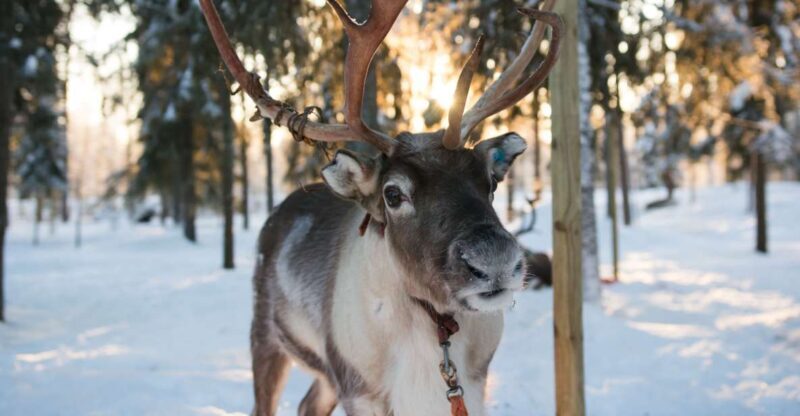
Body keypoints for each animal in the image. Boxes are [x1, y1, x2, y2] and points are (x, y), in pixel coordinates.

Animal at [199, 1, 561, 415]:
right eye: (393, 194)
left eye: (490, 182)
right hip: (268, 338)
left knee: (308, 404)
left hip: (327, 377)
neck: (433, 326)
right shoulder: (361, 391)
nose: (495, 261)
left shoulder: (473, 384)